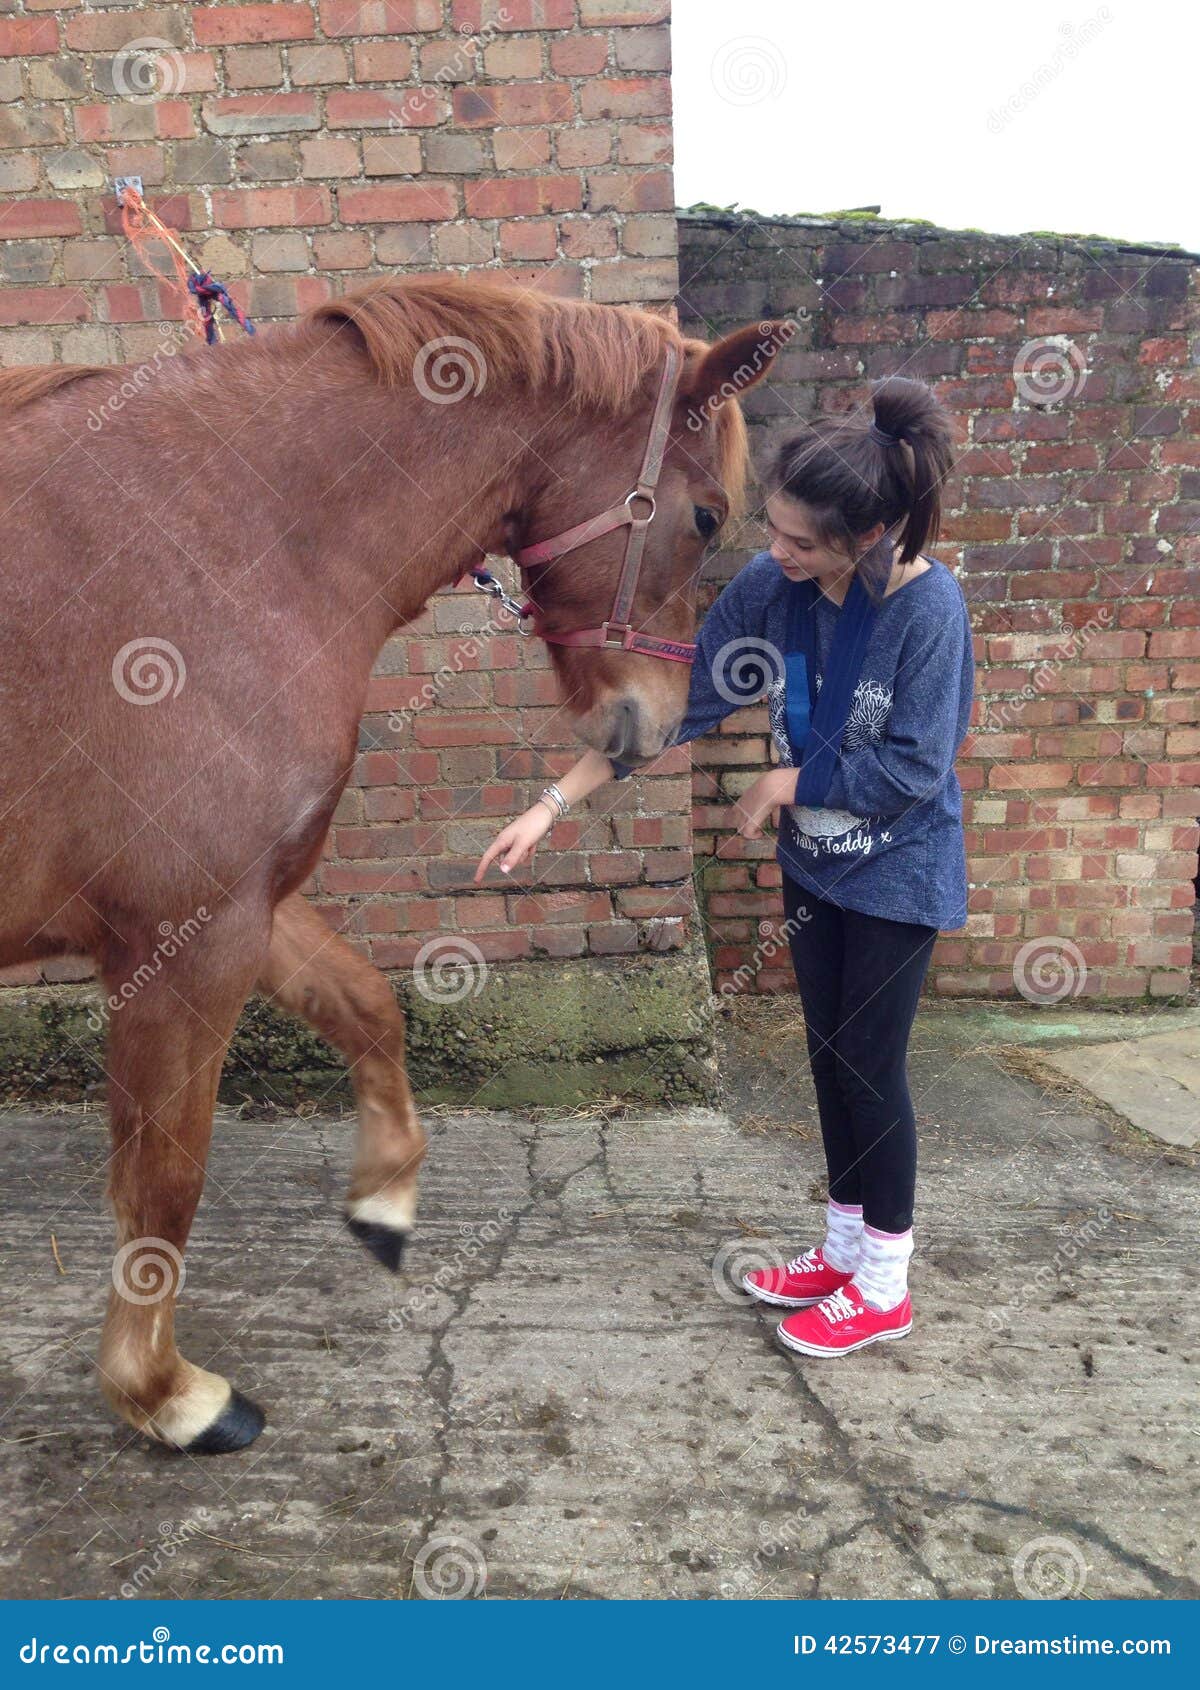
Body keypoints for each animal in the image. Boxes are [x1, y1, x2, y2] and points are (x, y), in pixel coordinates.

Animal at [0, 273, 782, 1454]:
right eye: (701, 516)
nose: (646, 733)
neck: (226, 542)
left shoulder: (245, 903)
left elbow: (369, 1007)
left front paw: (384, 1200)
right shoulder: (184, 937)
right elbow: (165, 1178)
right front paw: (167, 1392)